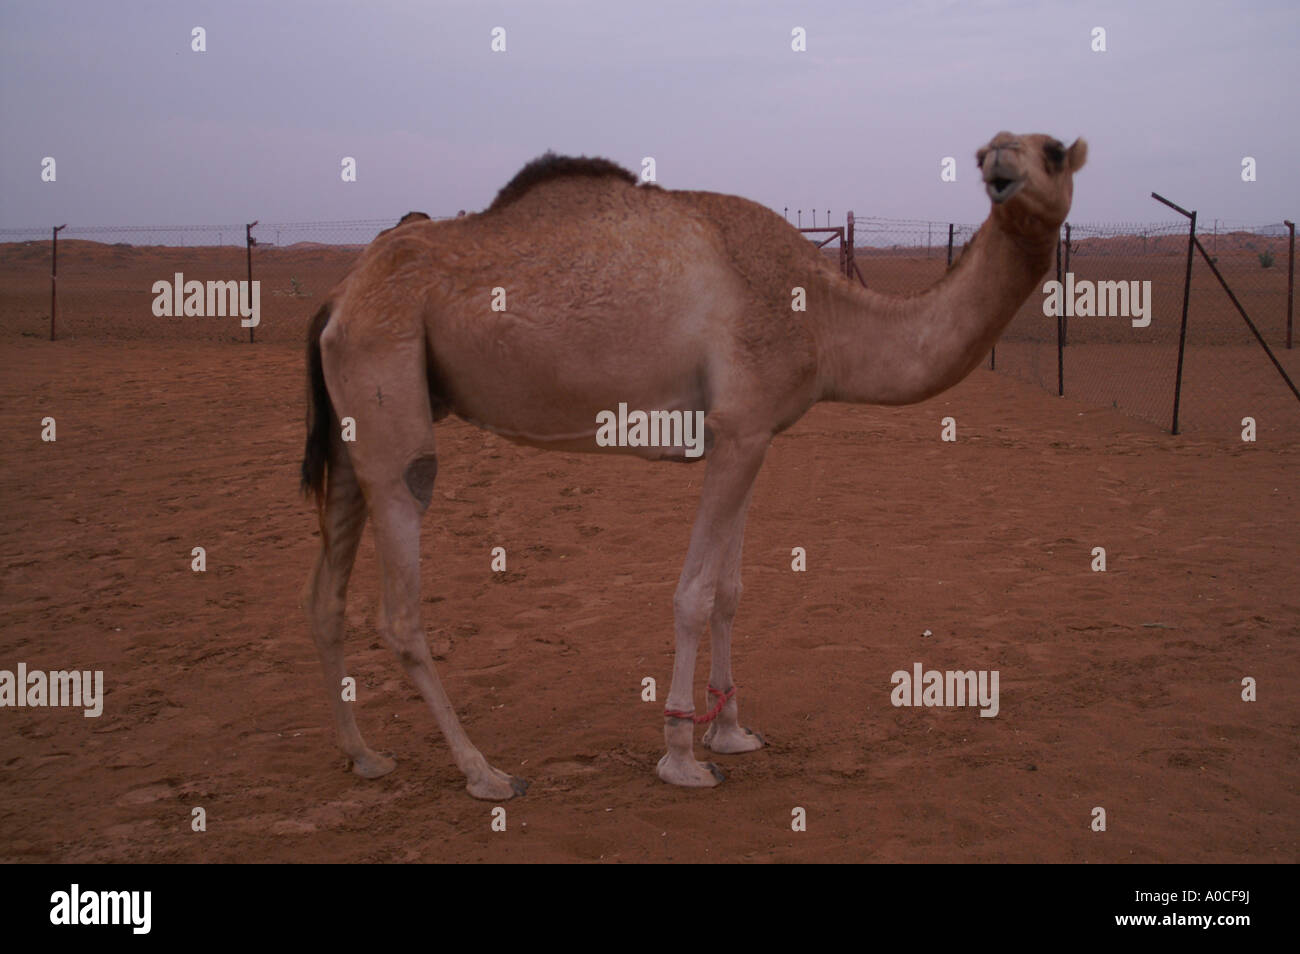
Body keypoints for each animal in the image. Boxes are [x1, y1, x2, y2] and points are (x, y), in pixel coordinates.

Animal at [301, 131, 1087, 799]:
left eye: (1051, 149)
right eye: (990, 150)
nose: (1002, 165)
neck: (823, 317)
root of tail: (336, 299)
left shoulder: (754, 434)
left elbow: (732, 591)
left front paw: (732, 731)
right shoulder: (738, 430)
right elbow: (694, 595)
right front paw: (682, 757)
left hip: (352, 427)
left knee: (325, 600)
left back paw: (364, 756)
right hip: (390, 402)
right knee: (400, 608)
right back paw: (484, 773)